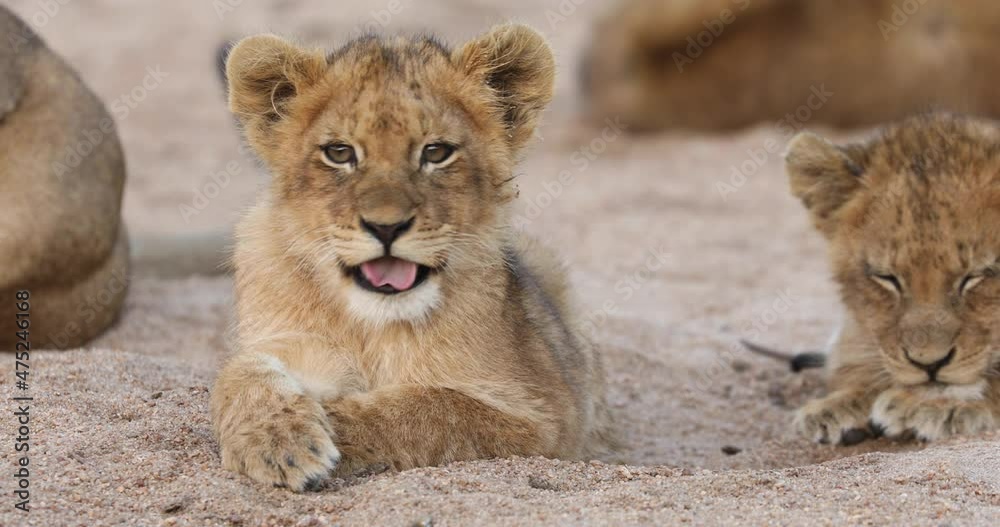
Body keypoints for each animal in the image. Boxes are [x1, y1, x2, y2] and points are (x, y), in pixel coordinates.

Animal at [210, 25, 616, 491]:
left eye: (436, 152)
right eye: (339, 153)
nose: (386, 227)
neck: (371, 327)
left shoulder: (544, 416)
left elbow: (427, 409)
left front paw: (329, 422)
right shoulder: (288, 340)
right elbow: (241, 371)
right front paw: (276, 439)